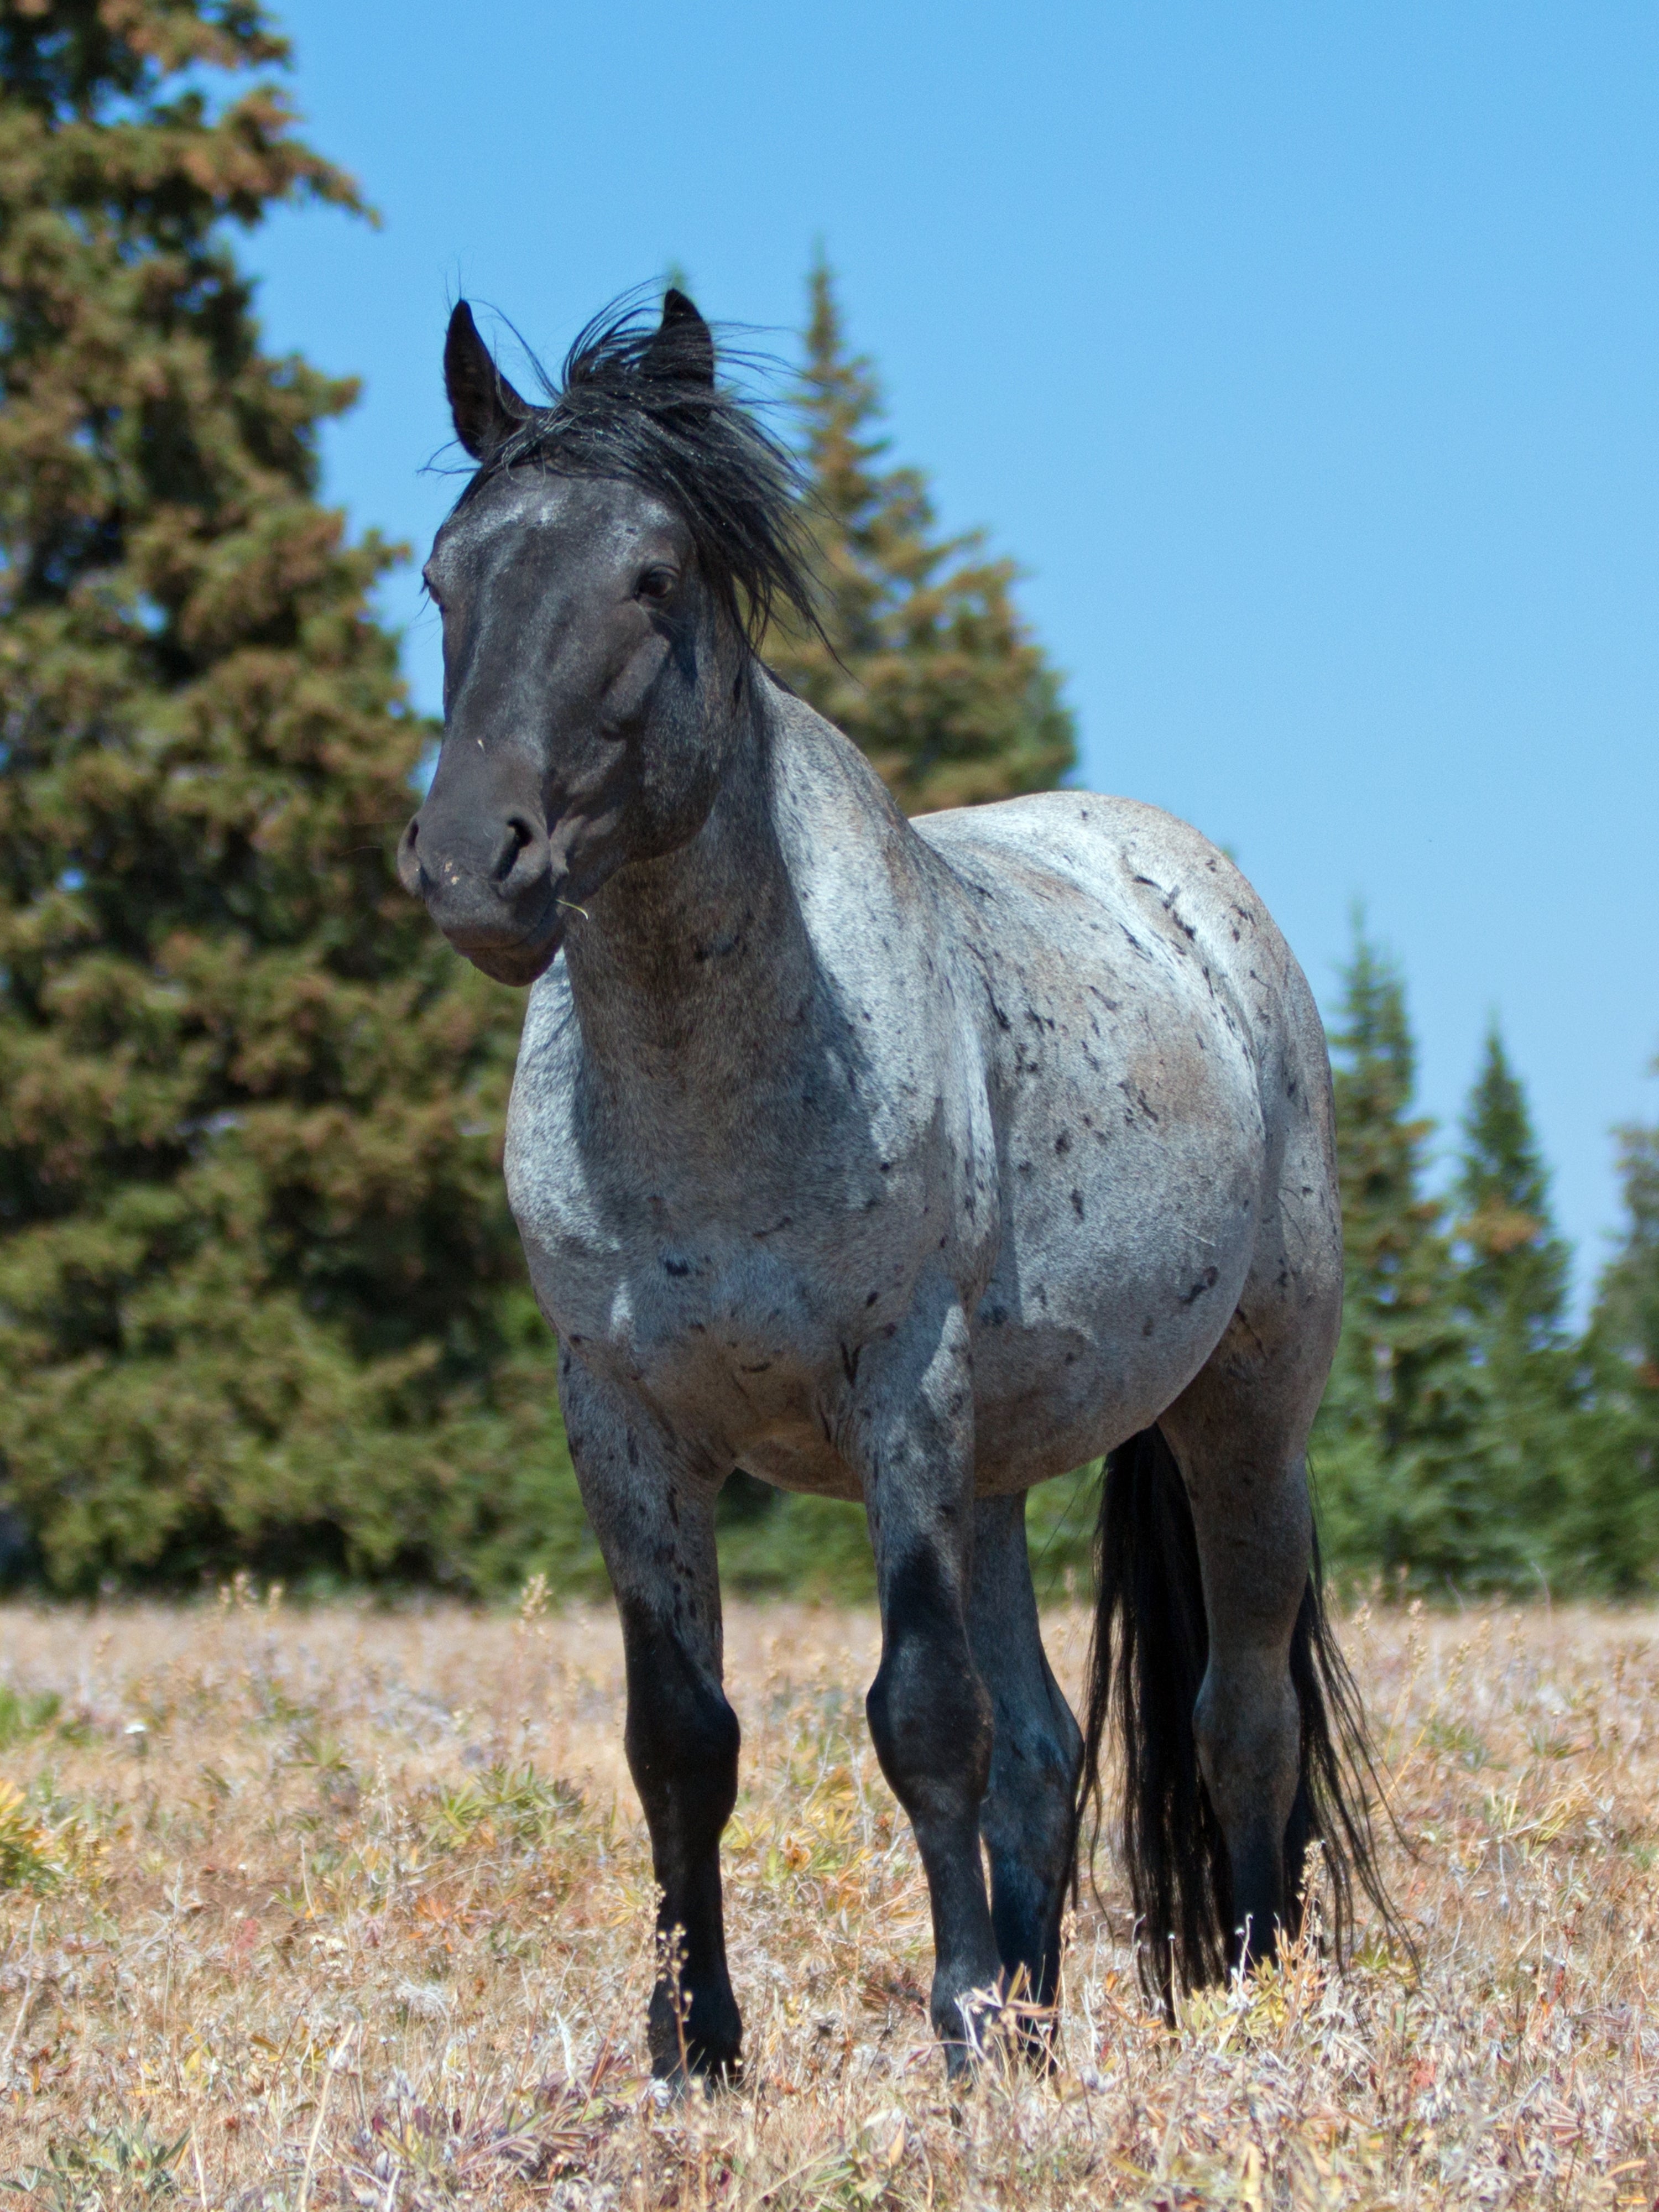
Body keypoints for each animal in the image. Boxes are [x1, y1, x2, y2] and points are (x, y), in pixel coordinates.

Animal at [397, 286, 1392, 2081]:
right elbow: (680, 1734)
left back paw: (1253, 1998)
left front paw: (960, 2026)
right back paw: (1051, 2019)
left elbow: (923, 1716)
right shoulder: (622, 1422)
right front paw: (698, 2045)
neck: (722, 1091)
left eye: (652, 575)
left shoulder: (896, 1392)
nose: (469, 864)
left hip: (1241, 1413)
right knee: (1053, 1748)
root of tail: (1196, 888)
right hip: (992, 1475)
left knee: (1238, 1714)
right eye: (446, 578)